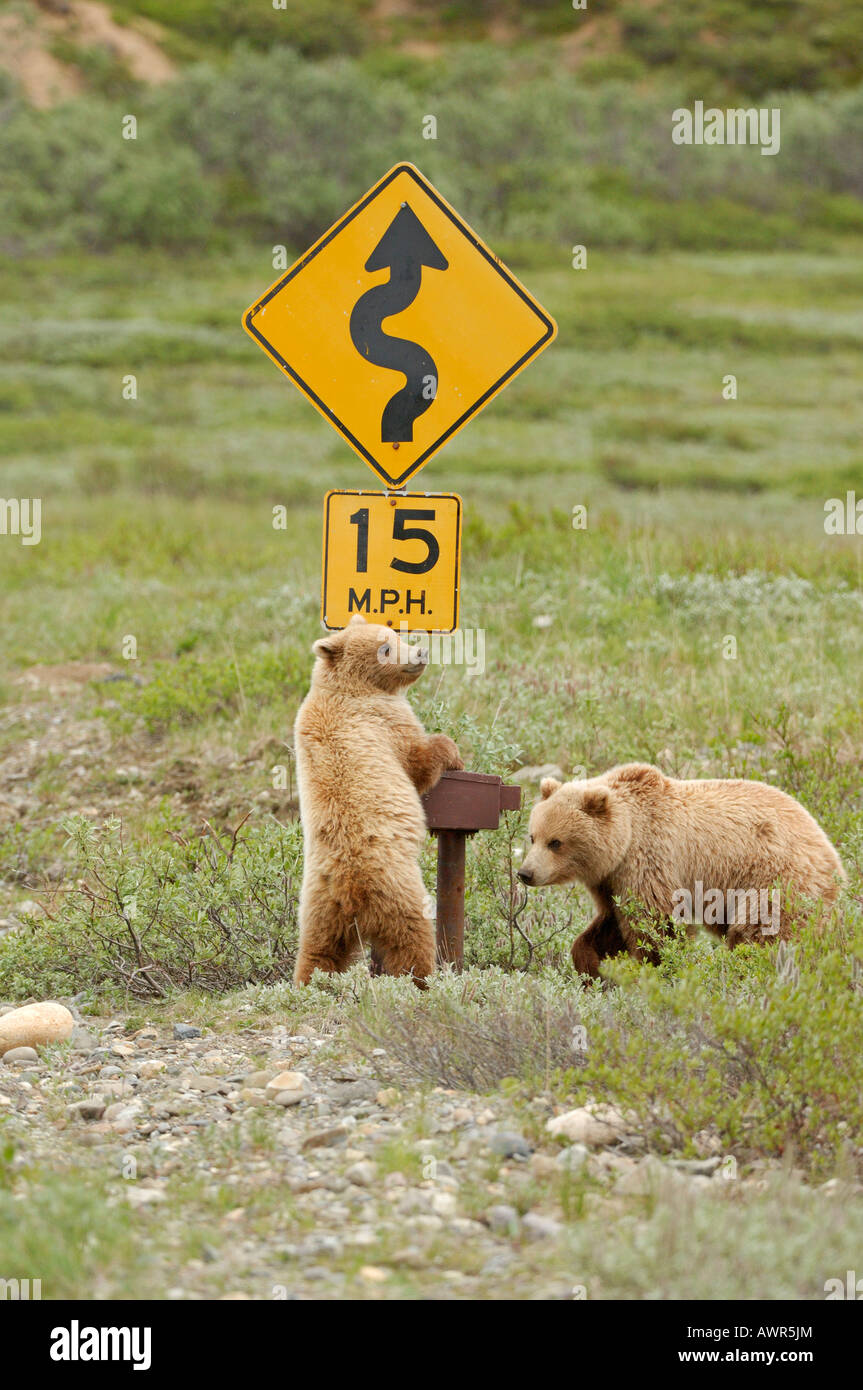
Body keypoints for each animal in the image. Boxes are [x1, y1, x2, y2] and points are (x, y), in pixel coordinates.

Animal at [293, 614, 463, 987]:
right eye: (385, 648)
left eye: (395, 634)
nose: (420, 651)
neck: (350, 688)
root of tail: (350, 889)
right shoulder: (384, 720)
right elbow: (417, 760)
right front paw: (452, 752)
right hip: (399, 890)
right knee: (410, 938)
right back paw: (422, 979)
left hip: (318, 906)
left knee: (318, 949)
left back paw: (306, 983)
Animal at [516, 763, 845, 980]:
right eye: (533, 836)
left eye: (556, 842)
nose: (525, 873)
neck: (623, 841)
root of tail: (832, 854)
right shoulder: (611, 880)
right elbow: (612, 924)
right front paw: (591, 965)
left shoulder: (650, 860)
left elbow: (657, 924)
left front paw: (652, 969)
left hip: (775, 878)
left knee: (763, 933)